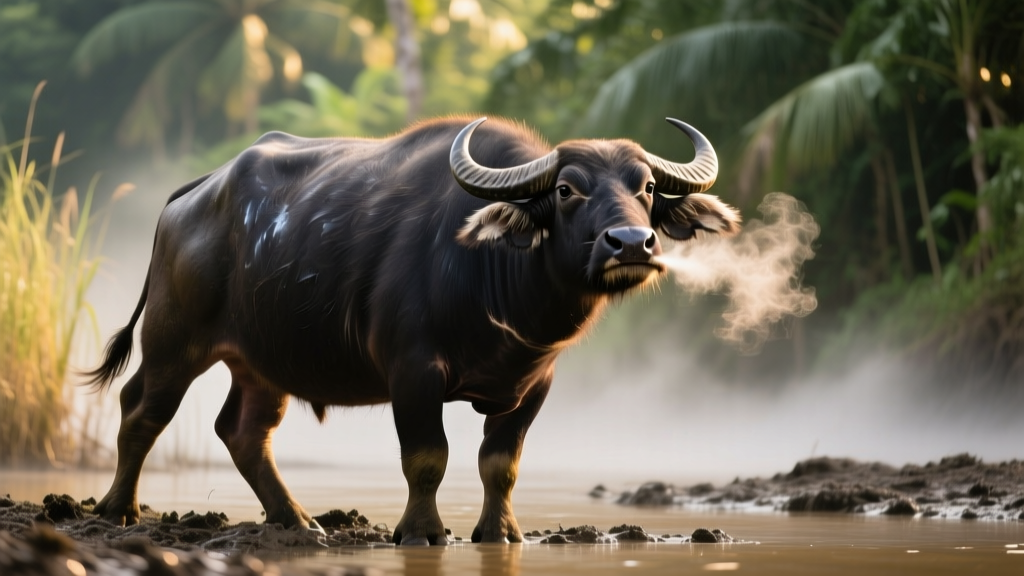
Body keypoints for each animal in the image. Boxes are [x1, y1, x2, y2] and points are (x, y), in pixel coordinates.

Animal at [87, 116, 740, 545]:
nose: (631, 243)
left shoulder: (535, 384)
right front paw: (423, 532)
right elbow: (428, 457)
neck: (496, 286)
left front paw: (499, 532)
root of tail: (195, 194)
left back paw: (296, 519)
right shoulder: (413, 372)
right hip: (174, 340)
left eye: (646, 187)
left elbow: (500, 463)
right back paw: (117, 509)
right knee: (142, 408)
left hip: (262, 360)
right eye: (565, 188)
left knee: (244, 431)